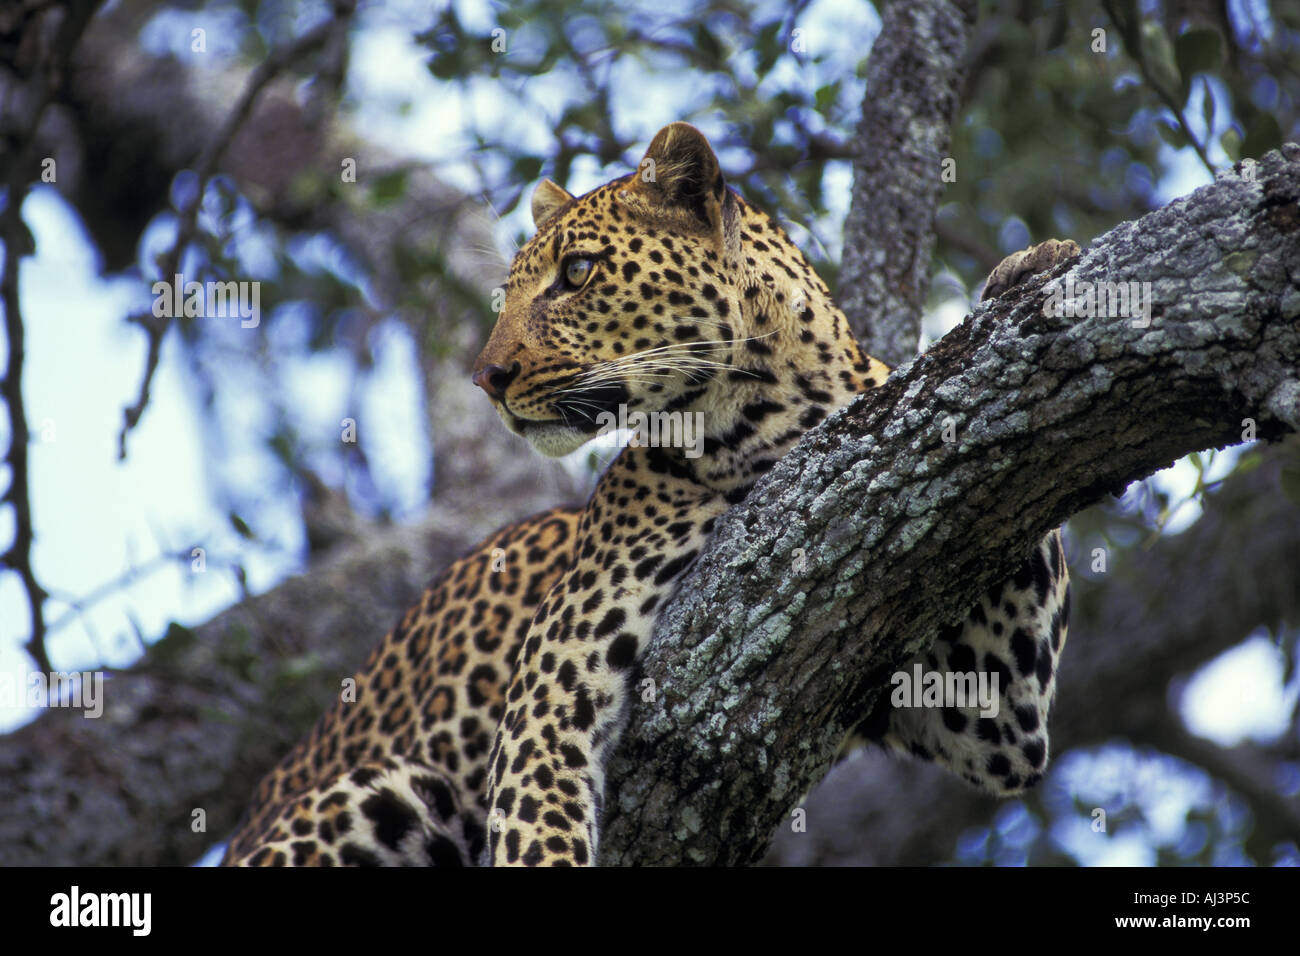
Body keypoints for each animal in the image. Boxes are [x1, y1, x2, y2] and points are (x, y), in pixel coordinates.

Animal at [221, 122, 1074, 867]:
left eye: (576, 273)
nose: (487, 378)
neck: (769, 418)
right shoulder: (551, 671)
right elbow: (537, 821)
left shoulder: (986, 712)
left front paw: (1029, 270)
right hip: (387, 791)